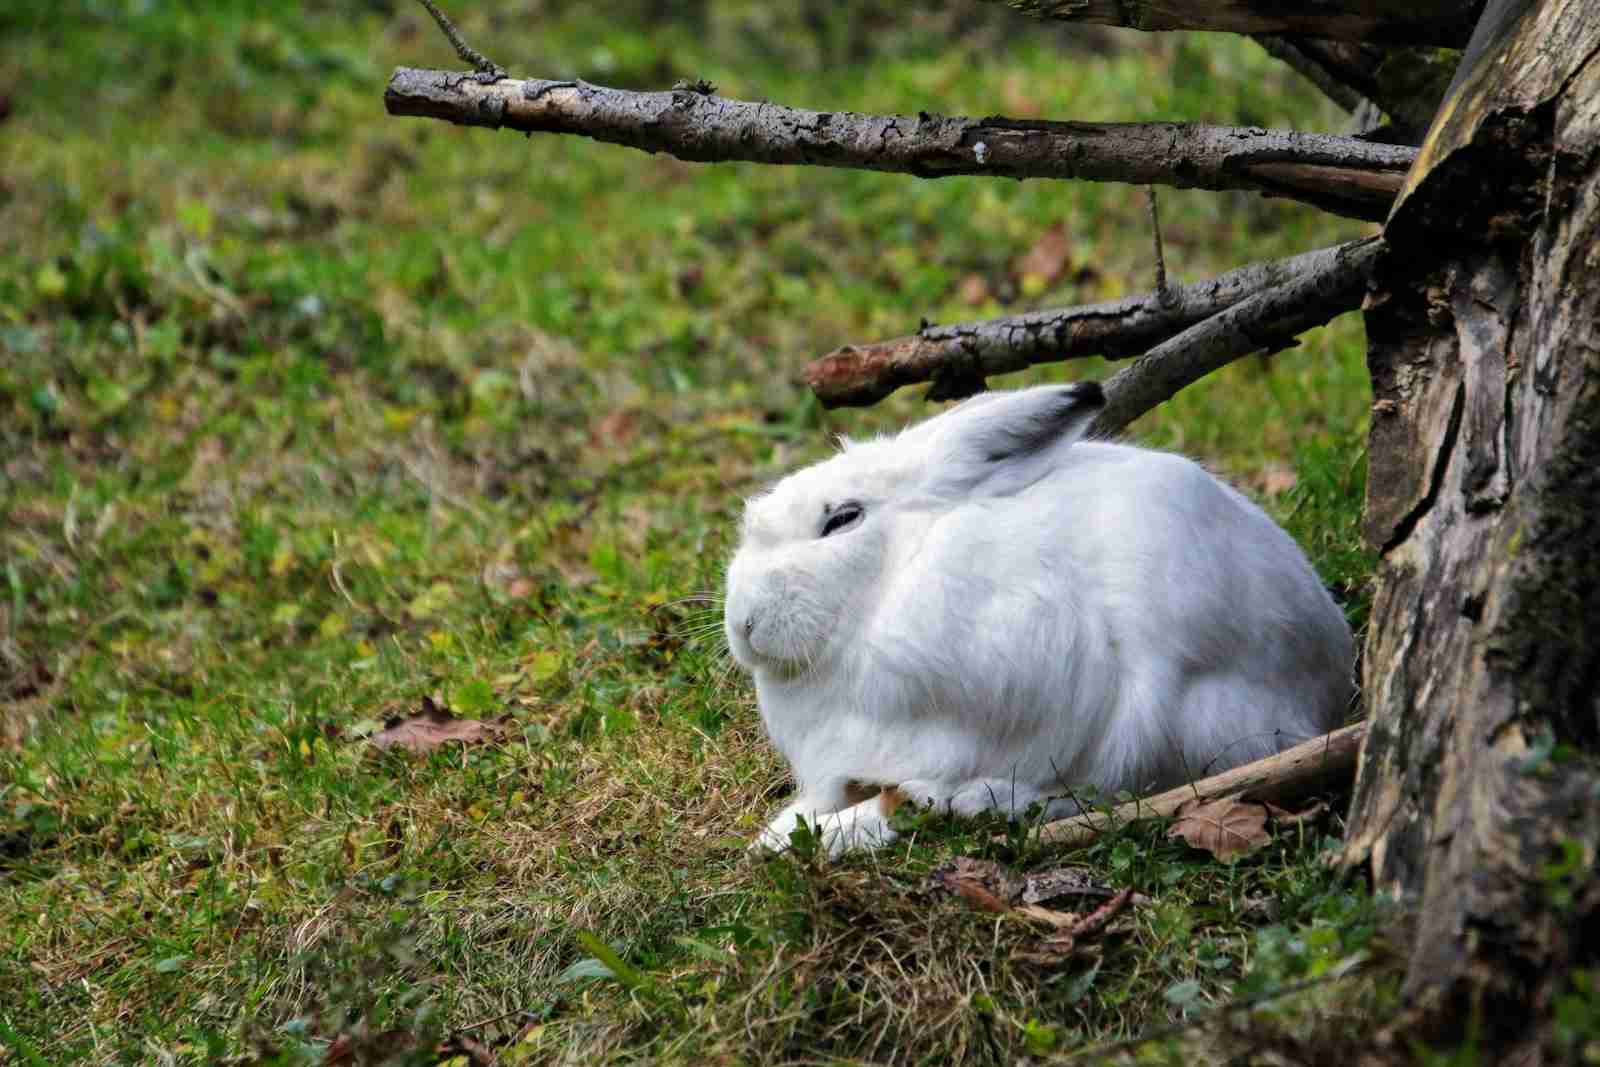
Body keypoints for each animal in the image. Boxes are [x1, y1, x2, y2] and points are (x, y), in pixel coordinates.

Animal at [723, 381, 1355, 856]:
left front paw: (851, 829)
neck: (888, 583)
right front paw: (780, 834)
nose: (743, 624)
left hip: (1181, 716)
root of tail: (1330, 683)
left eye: (842, 519)